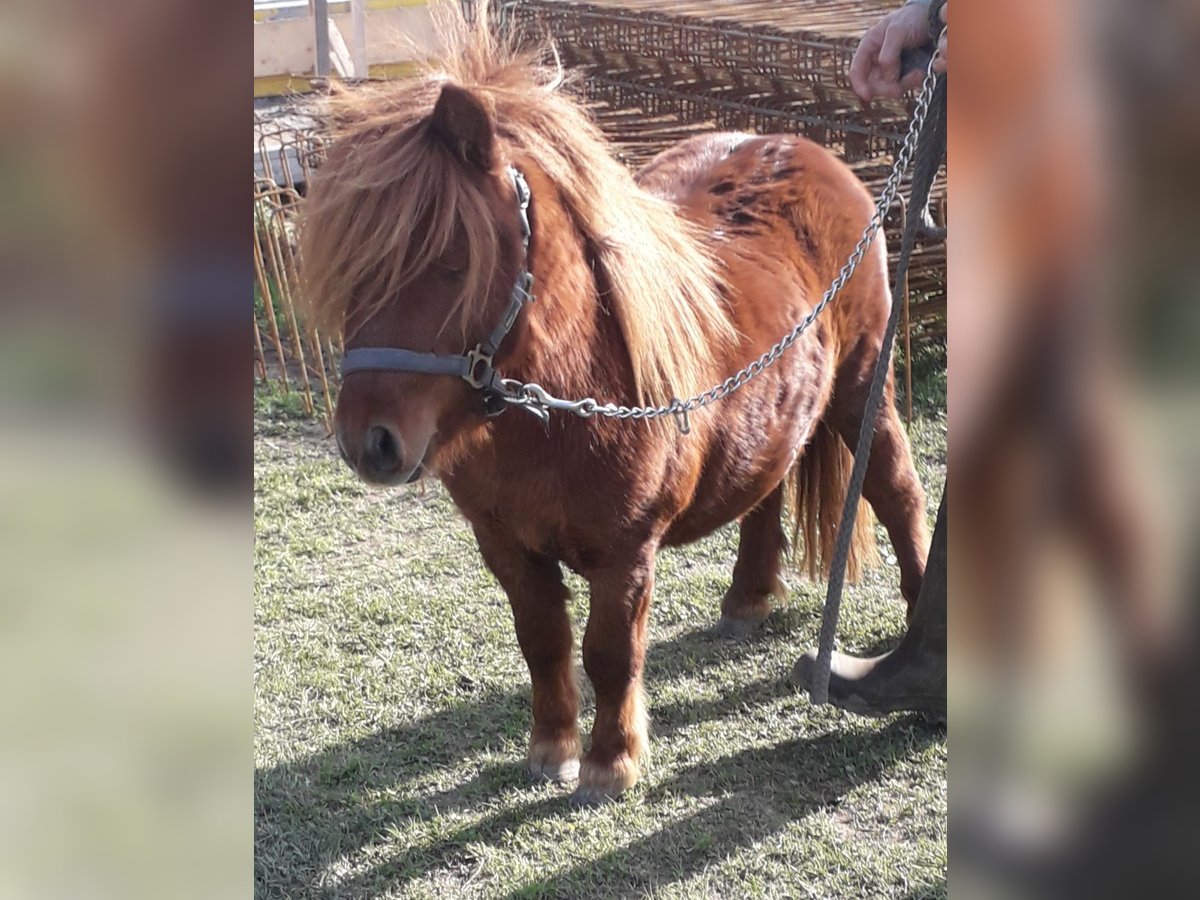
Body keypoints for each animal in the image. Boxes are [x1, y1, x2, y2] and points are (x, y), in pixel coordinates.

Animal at [300, 13, 929, 806]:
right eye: (353, 270)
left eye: (452, 262)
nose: (369, 443)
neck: (564, 405)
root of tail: (813, 153)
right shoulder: (504, 543)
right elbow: (542, 641)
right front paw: (551, 750)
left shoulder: (625, 550)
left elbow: (609, 652)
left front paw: (610, 762)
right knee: (767, 483)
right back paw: (747, 600)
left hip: (861, 387)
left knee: (897, 491)